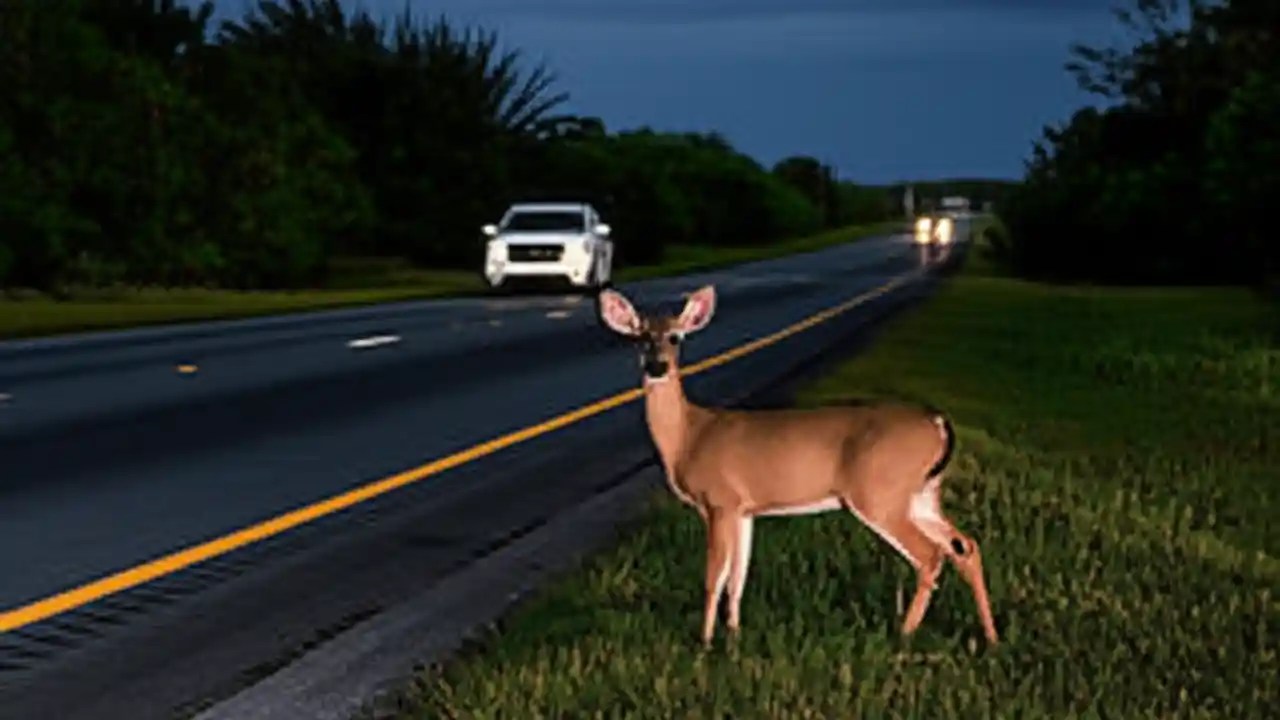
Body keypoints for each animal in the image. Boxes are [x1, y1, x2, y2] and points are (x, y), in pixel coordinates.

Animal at [597, 284, 998, 647]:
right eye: (640, 338)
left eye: (675, 337)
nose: (658, 366)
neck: (689, 436)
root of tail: (938, 422)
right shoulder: (744, 509)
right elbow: (738, 577)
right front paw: (733, 635)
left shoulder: (719, 500)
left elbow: (714, 577)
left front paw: (705, 642)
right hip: (921, 493)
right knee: (966, 546)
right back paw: (990, 636)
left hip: (879, 491)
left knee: (931, 555)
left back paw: (905, 634)